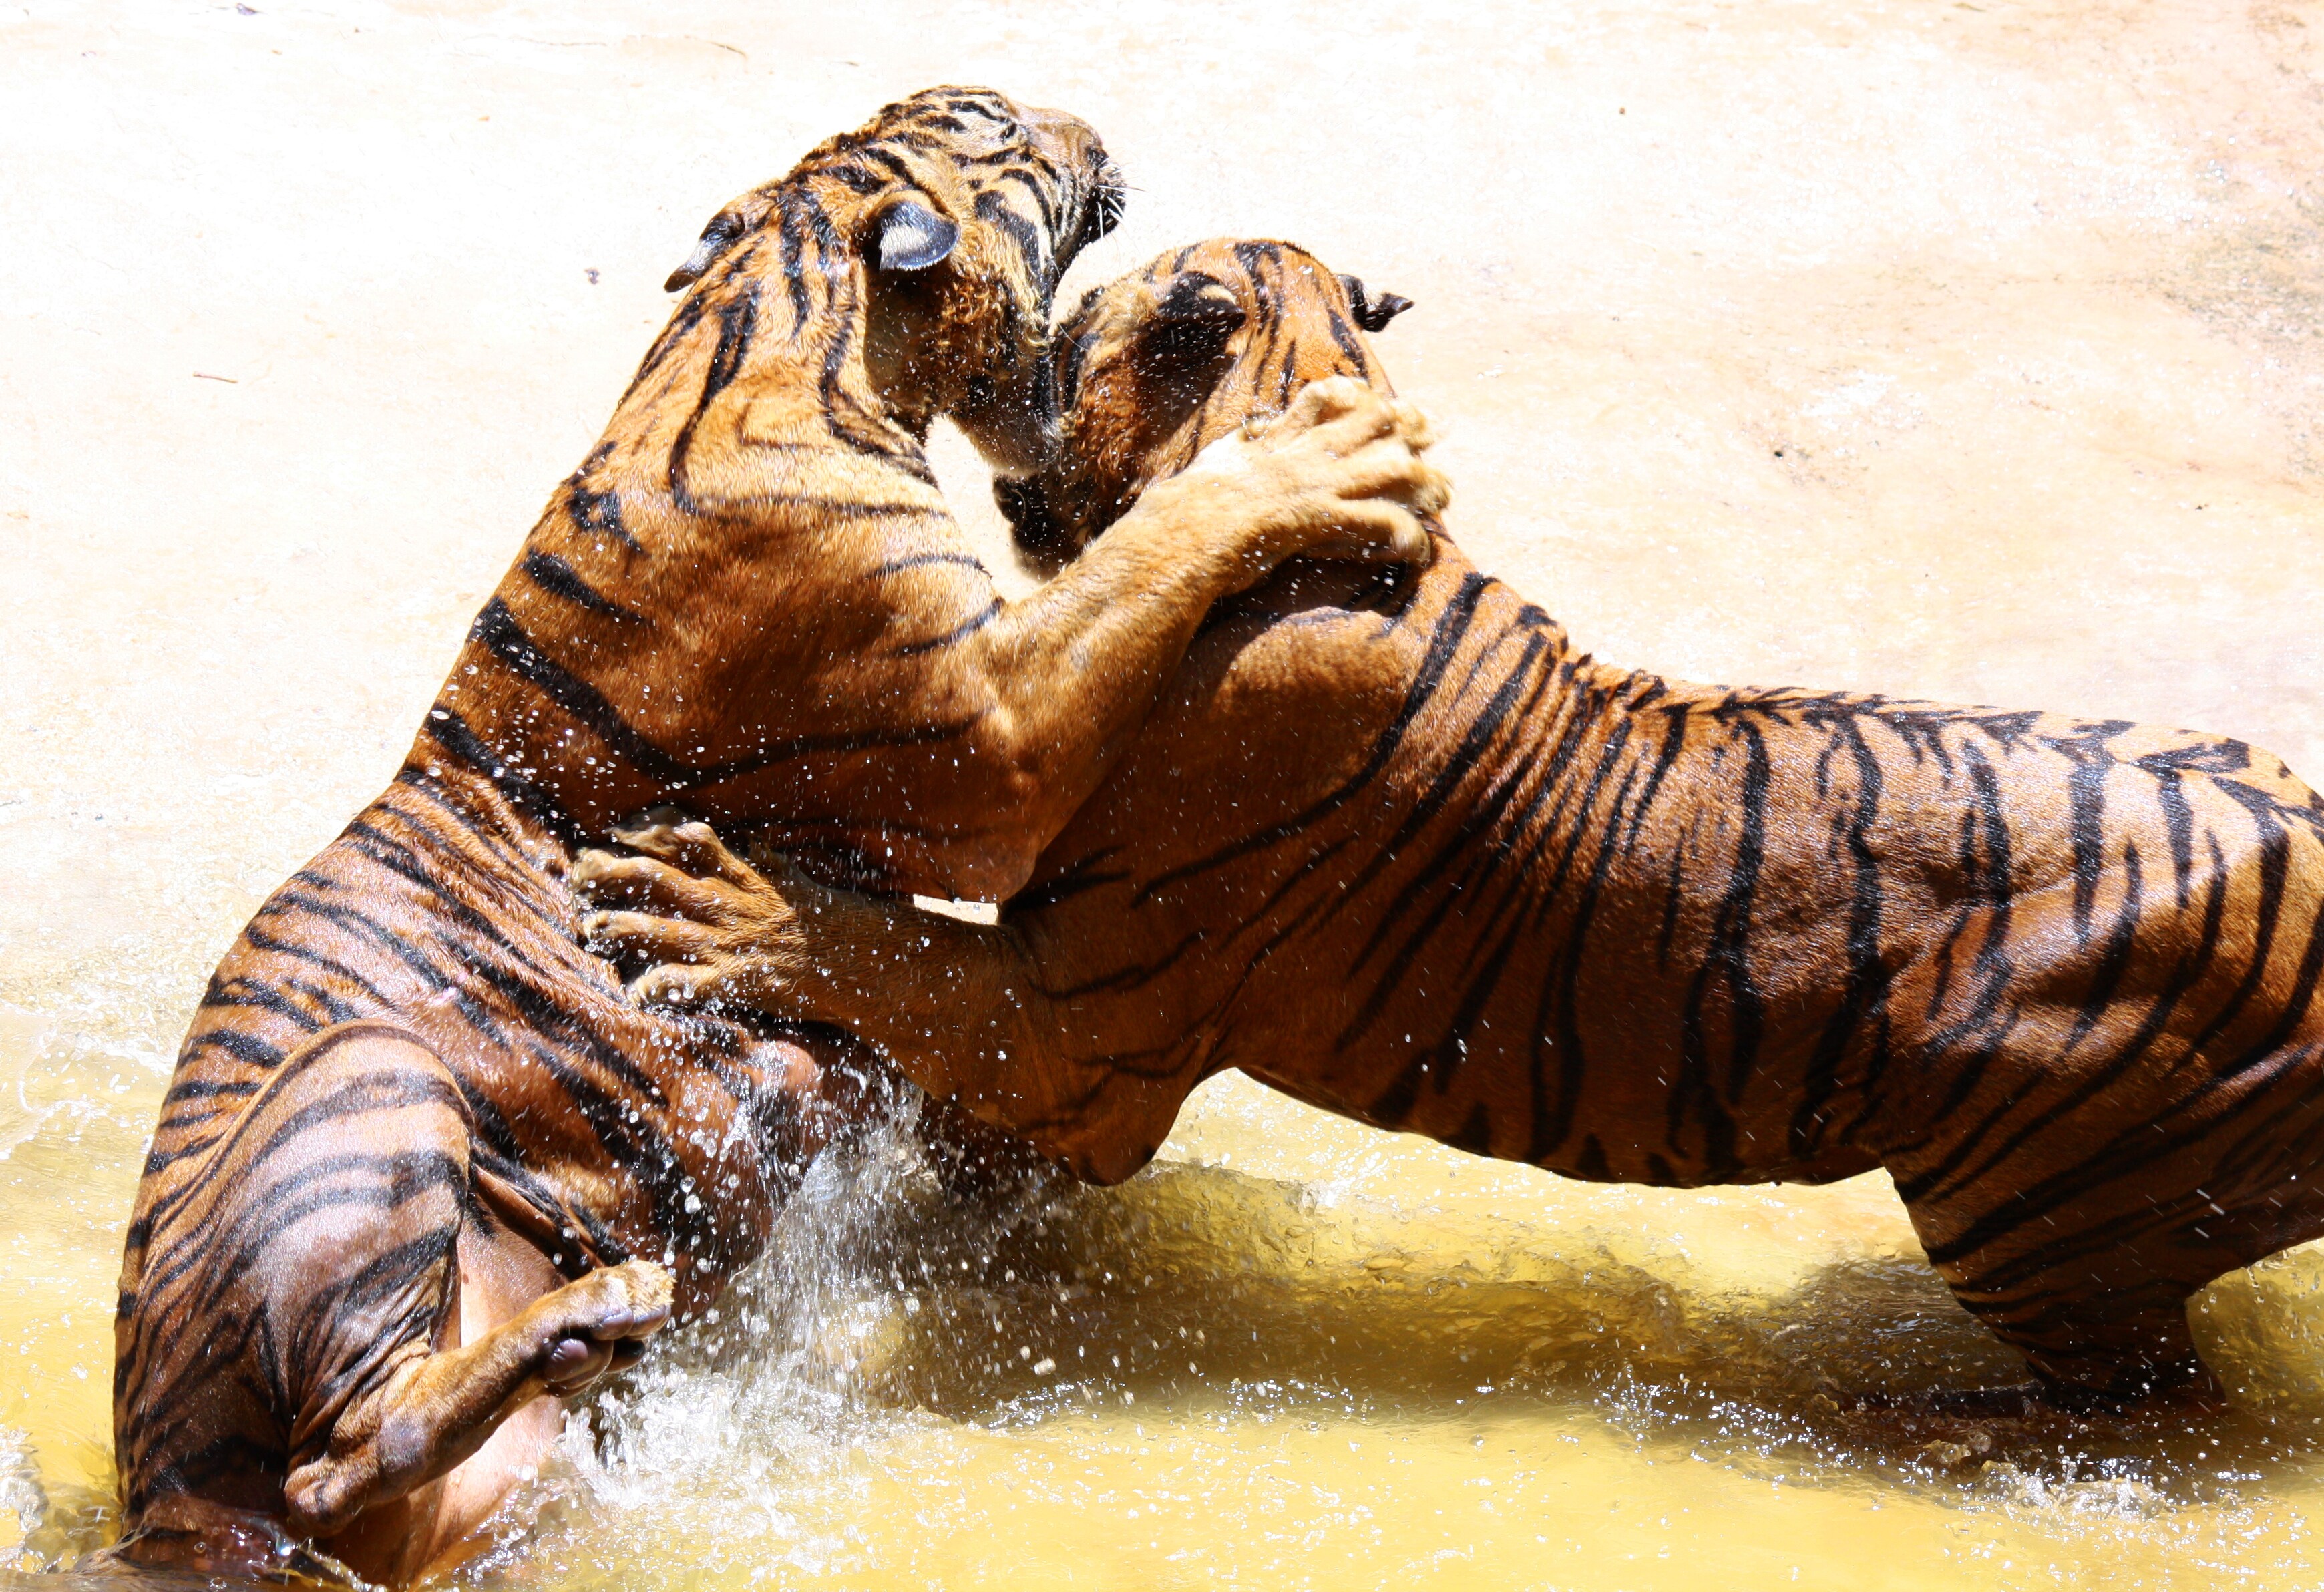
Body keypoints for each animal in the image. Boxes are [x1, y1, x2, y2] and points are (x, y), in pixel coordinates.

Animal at [105, 97, 1447, 1586]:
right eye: (1011, 125)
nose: (1094, 125)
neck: (788, 309)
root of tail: (160, 1491)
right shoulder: (1000, 732)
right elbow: (1161, 542)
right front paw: (1339, 455)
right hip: (369, 1074)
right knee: (343, 1449)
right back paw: (590, 1311)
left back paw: (599, 1318)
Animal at [577, 237, 2324, 1417]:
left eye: (1069, 332)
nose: (1002, 361)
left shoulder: (1088, 1035)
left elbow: (884, 949)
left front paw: (725, 905)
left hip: (2029, 1206)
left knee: (2153, 1395)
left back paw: (1907, 1410)